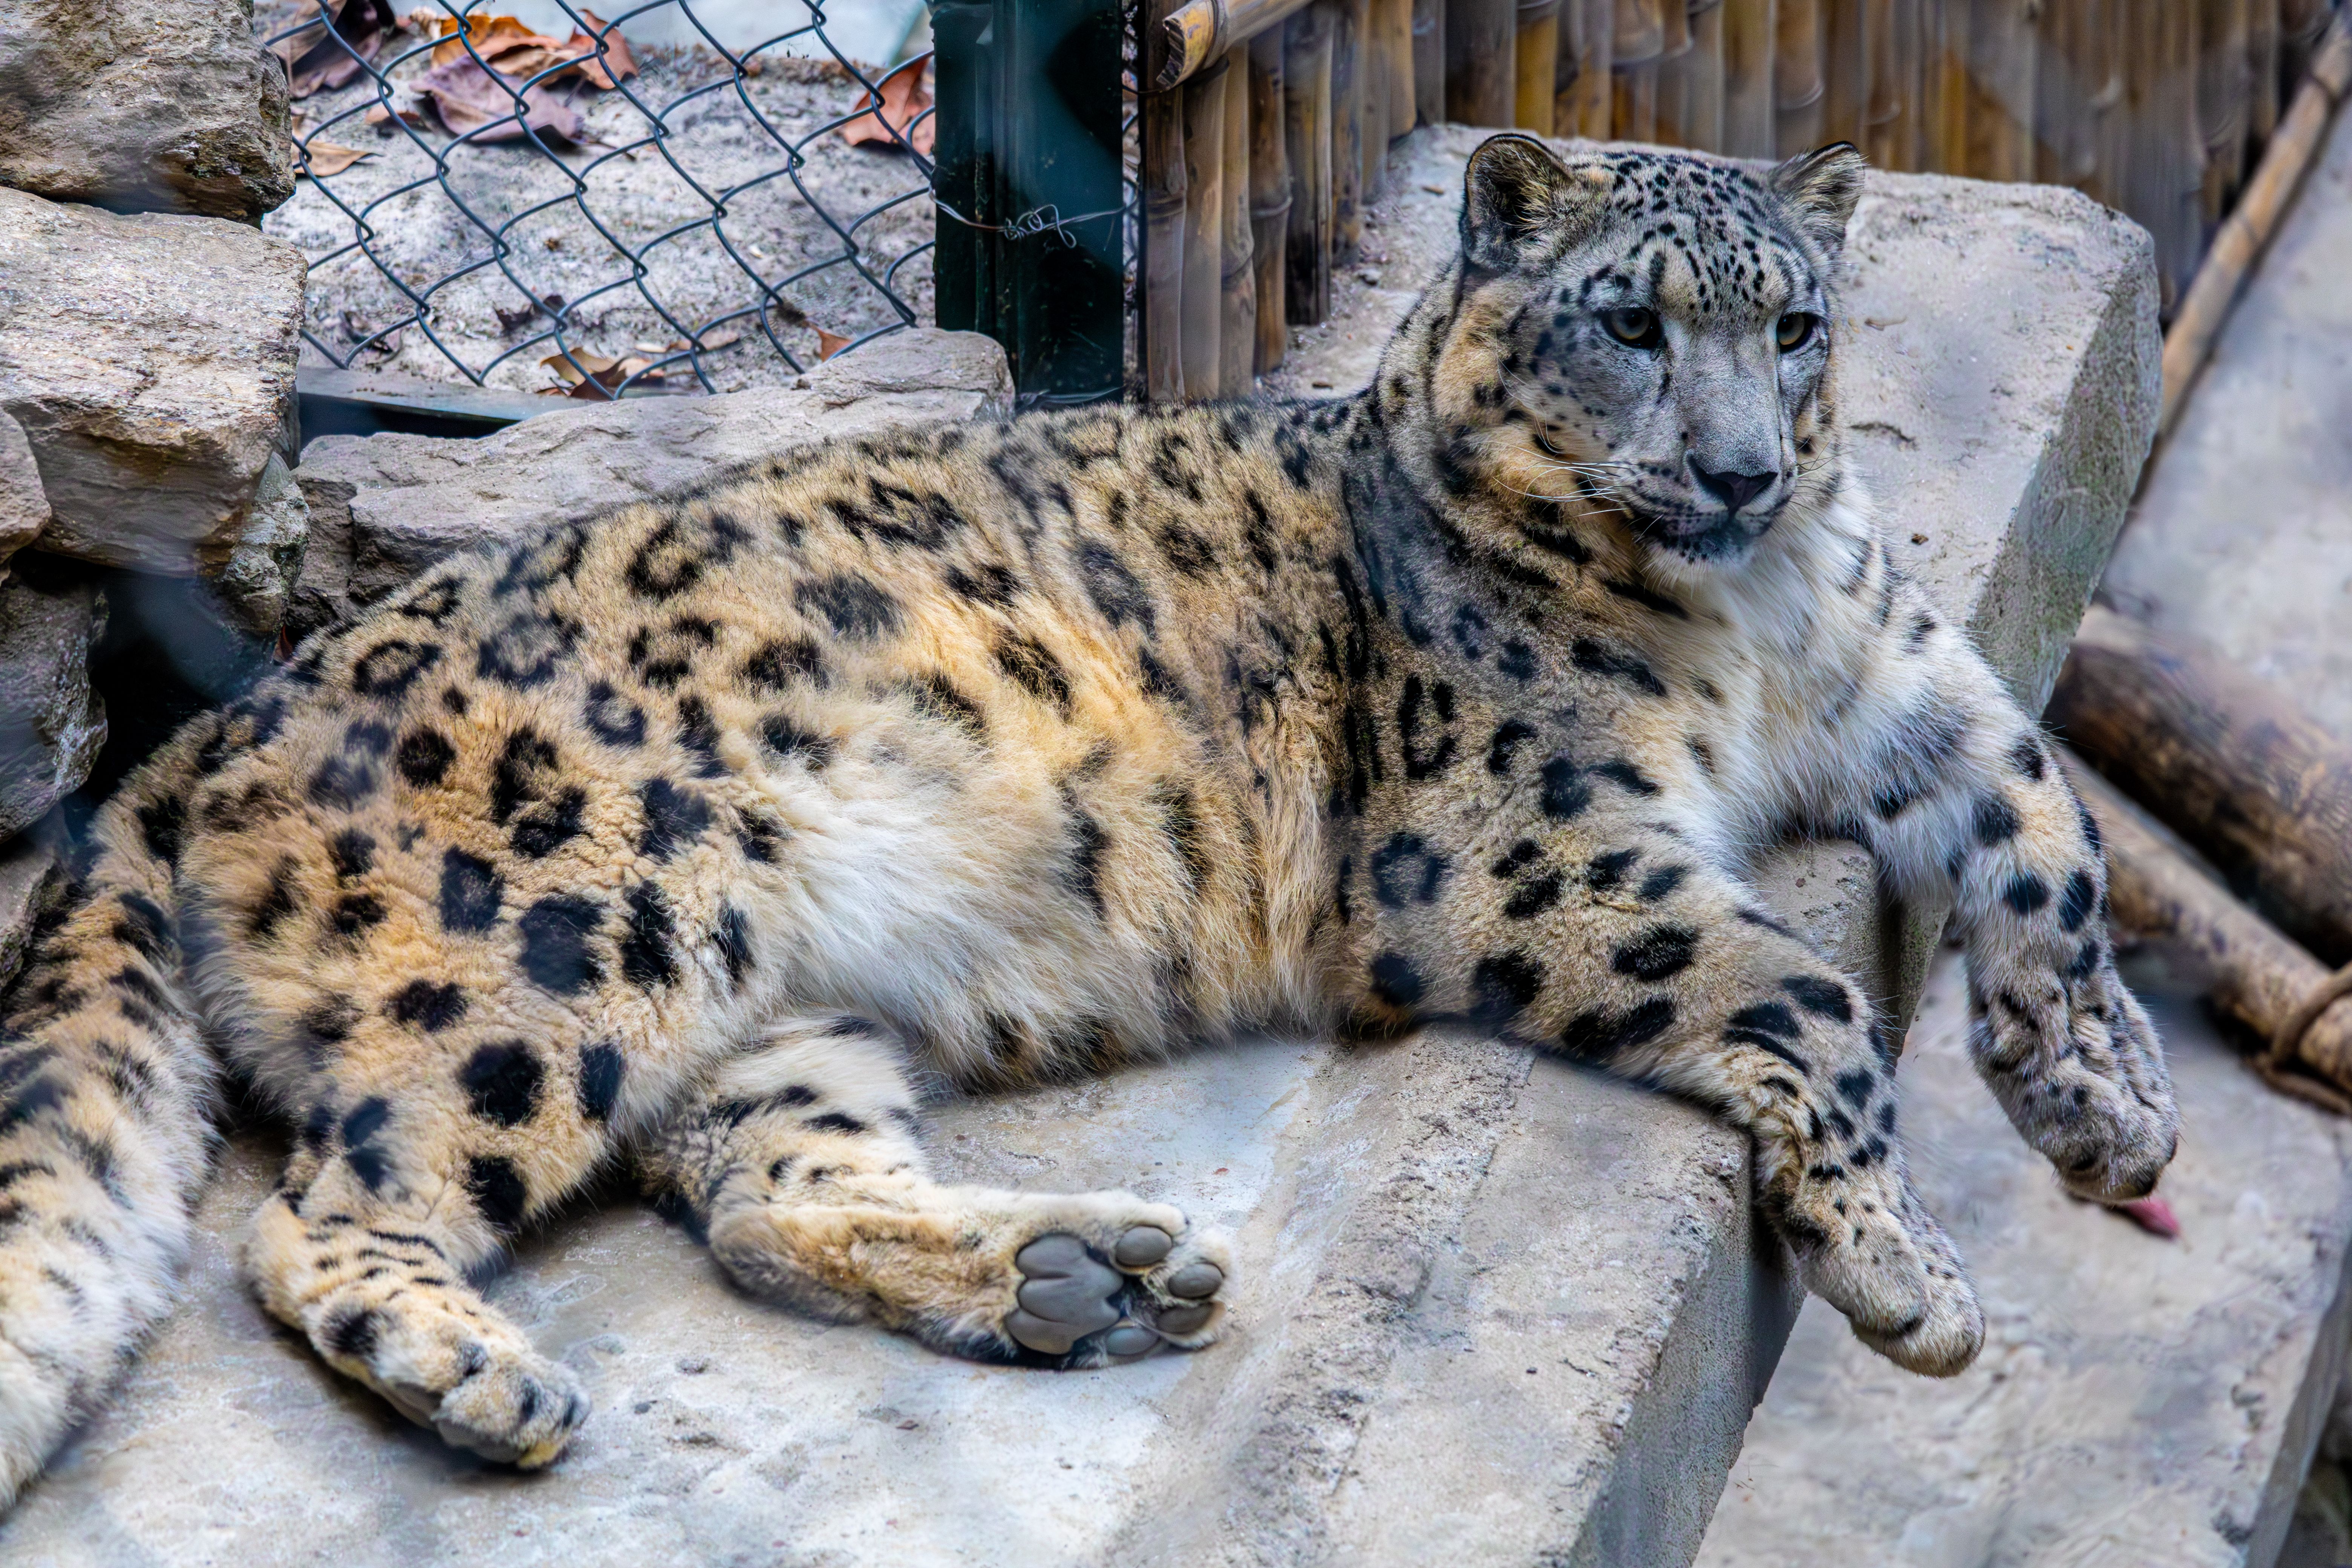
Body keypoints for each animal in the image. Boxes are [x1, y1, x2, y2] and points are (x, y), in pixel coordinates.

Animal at [0, 134, 2177, 1500]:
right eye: (1630, 324)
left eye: (1793, 326)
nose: (1737, 469)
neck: (1758, 623)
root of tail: (213, 736)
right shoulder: (1510, 840)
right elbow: (1804, 993)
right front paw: (1910, 1278)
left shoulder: (1902, 675)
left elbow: (2047, 829)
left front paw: (2103, 1103)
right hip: (556, 950)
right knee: (326, 1211)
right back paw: (476, 1371)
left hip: (756, 1014)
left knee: (767, 1194)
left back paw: (1080, 1278)